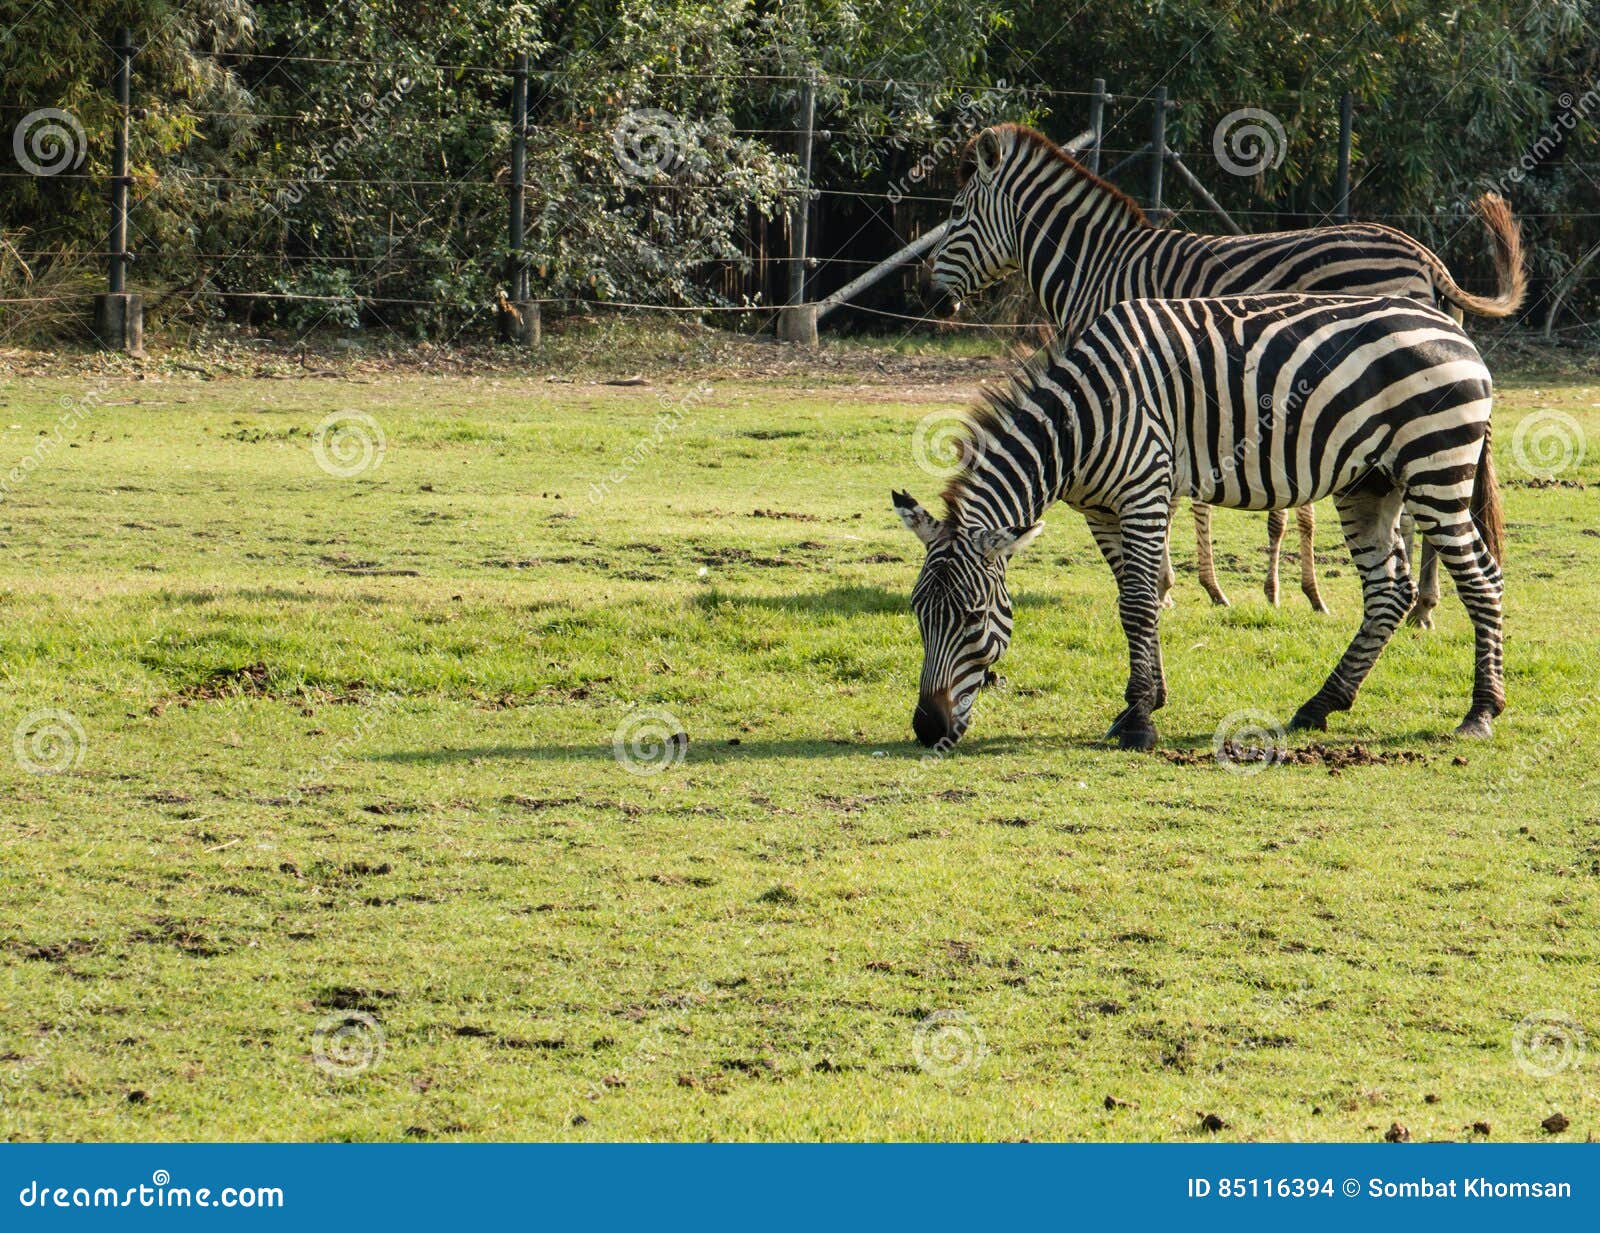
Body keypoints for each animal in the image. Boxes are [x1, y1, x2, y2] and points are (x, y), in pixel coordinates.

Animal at [891, 293, 1504, 751]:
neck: (1080, 423)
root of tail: (1454, 329)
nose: (927, 729)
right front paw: (1145, 700)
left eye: (973, 617)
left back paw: (1480, 712)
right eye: (918, 612)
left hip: (1435, 467)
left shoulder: (1143, 489)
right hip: (1371, 484)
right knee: (1388, 591)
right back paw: (1321, 705)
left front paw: (1139, 720)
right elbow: (1131, 598)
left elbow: (1140, 604)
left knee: (1482, 579)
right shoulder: (1101, 510)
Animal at [929, 123, 1524, 626]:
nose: (930, 298)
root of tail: (1428, 258)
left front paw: (1167, 586)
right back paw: (1422, 602)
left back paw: (1418, 603)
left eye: (956, 212)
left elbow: (1170, 498)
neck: (1097, 266)